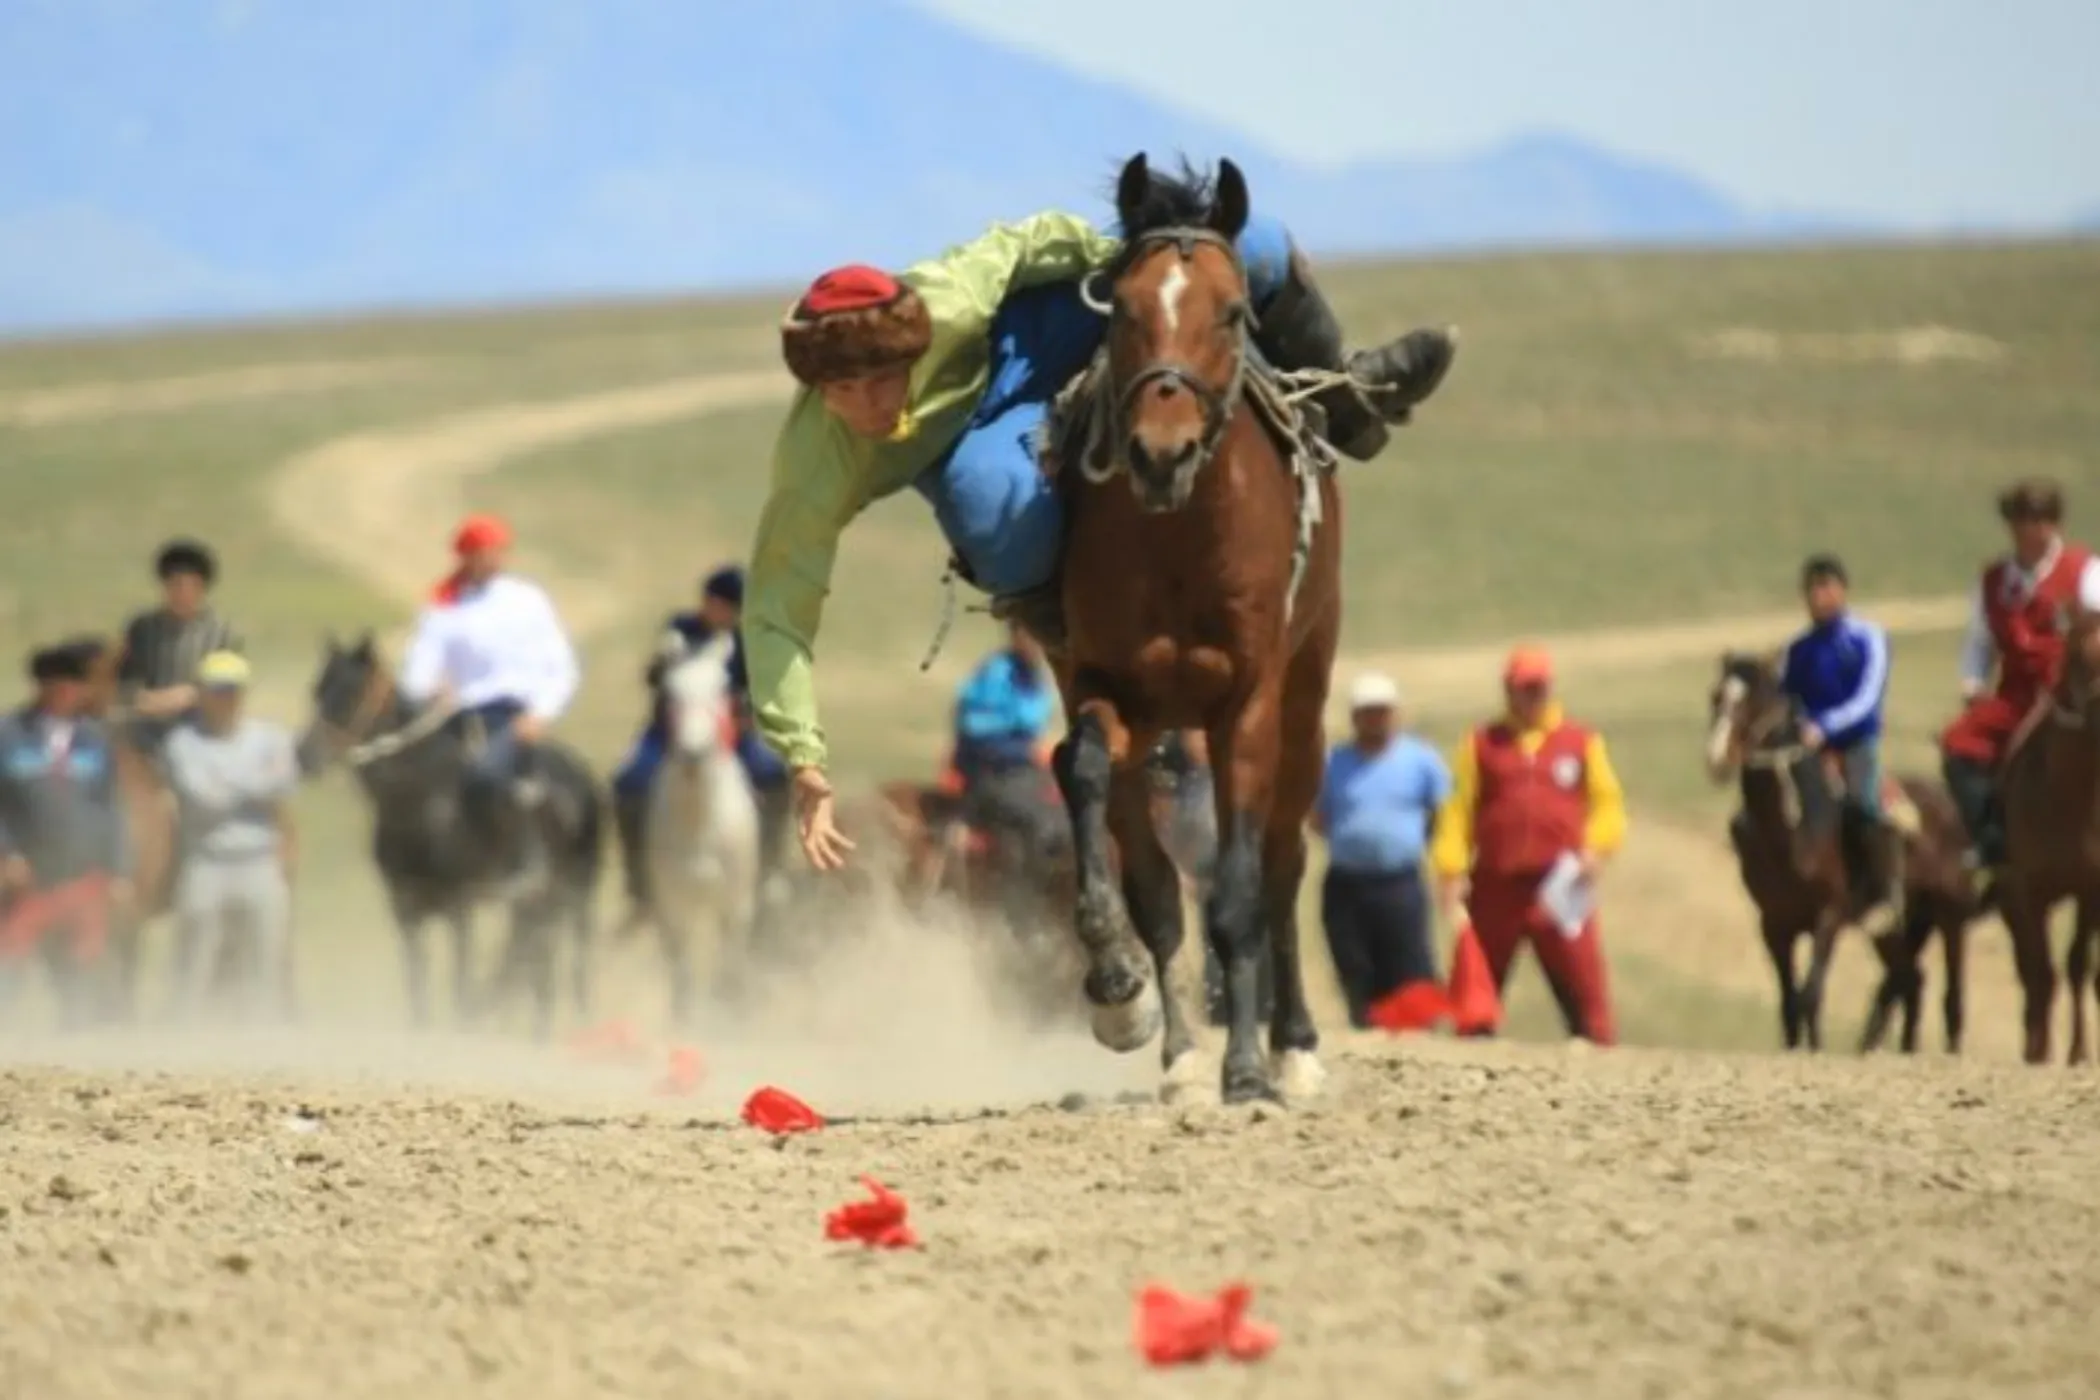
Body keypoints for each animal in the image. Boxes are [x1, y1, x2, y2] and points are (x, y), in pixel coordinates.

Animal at [291, 633, 600, 1041]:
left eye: (350, 692)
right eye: (317, 690)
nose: (304, 756)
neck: (422, 801)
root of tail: (582, 778)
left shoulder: (459, 907)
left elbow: (460, 983)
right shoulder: (405, 908)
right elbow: (417, 982)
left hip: (576, 894)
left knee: (569, 962)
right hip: (531, 904)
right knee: (534, 961)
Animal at [651, 629, 768, 1024]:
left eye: (721, 689)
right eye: (671, 692)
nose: (693, 753)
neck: (700, 826)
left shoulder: (736, 904)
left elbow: (730, 967)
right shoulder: (673, 905)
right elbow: (683, 974)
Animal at [1041, 153, 1335, 1108]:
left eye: (1232, 310)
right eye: (1124, 307)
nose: (1160, 450)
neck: (1177, 540)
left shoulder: (1248, 704)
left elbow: (1238, 893)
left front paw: (1246, 1070)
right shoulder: (1103, 684)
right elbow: (1091, 784)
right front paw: (1117, 982)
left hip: (1306, 702)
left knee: (1281, 865)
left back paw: (1293, 1046)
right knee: (1160, 883)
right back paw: (1177, 1052)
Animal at [1705, 650, 1982, 1057]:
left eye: (1755, 702)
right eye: (1716, 697)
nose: (1716, 759)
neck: (1793, 829)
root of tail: (1950, 808)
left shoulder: (1829, 917)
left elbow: (1811, 994)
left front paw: (1815, 1052)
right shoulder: (1774, 925)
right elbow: (1789, 1003)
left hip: (1951, 916)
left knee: (1952, 996)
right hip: (1893, 928)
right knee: (1910, 980)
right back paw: (1903, 1049)